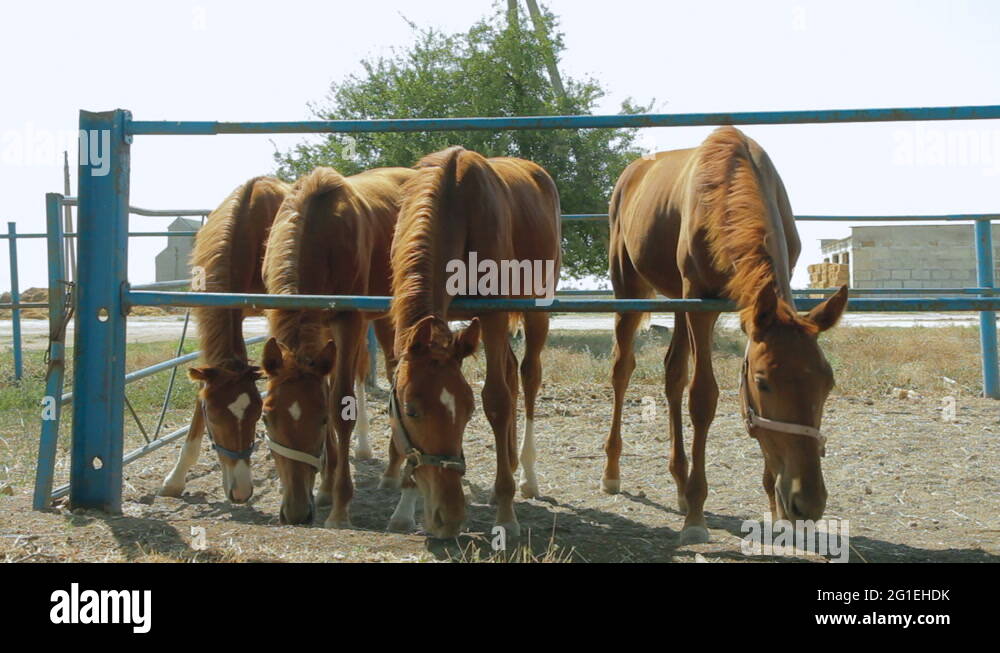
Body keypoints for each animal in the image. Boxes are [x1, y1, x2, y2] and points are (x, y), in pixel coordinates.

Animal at [261, 165, 416, 526]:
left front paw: (340, 506)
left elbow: (340, 406)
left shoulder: (348, 321)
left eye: (319, 420)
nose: (296, 511)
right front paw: (326, 487)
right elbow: (329, 390)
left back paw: (393, 470)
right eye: (266, 418)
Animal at [385, 146, 560, 539]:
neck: (455, 201)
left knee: (527, 377)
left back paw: (526, 476)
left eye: (467, 411)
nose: (448, 517)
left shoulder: (494, 315)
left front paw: (506, 515)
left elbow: (496, 400)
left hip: (536, 309)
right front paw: (404, 505)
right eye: (411, 410)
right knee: (510, 370)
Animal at [604, 126, 848, 544]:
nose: (808, 503)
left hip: (675, 300)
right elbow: (703, 397)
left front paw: (773, 505)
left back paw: (680, 482)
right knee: (623, 368)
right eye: (764, 383)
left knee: (673, 374)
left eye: (827, 383)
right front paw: (696, 515)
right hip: (629, 288)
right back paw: (613, 472)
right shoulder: (700, 301)